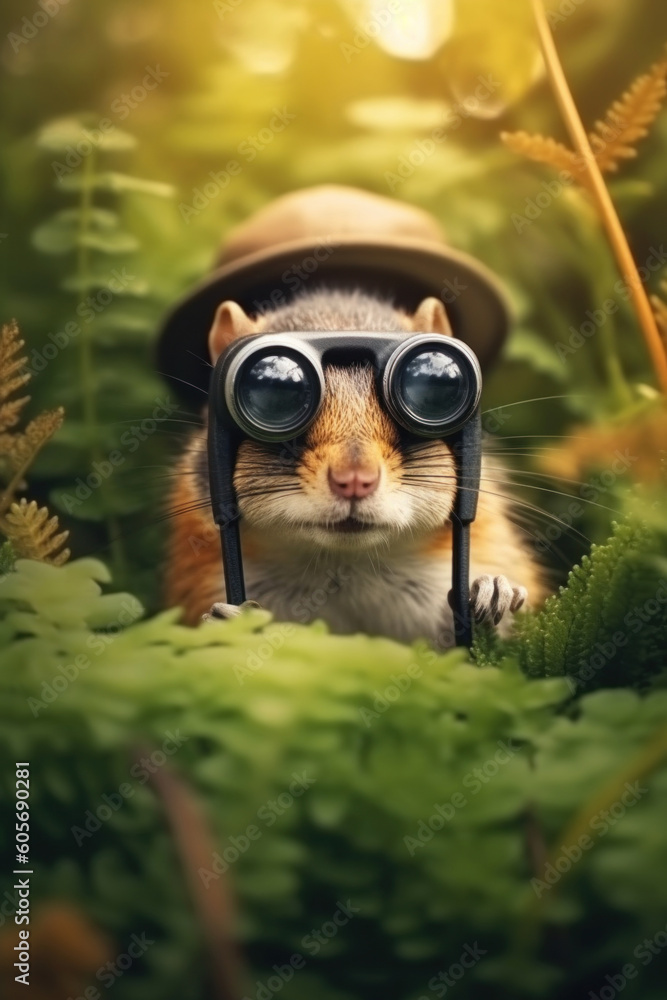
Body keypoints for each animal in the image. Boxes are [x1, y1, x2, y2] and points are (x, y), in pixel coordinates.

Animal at [164, 286, 547, 647]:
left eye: (438, 387)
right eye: (273, 391)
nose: (354, 480)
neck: (347, 567)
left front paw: (495, 594)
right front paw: (227, 623)